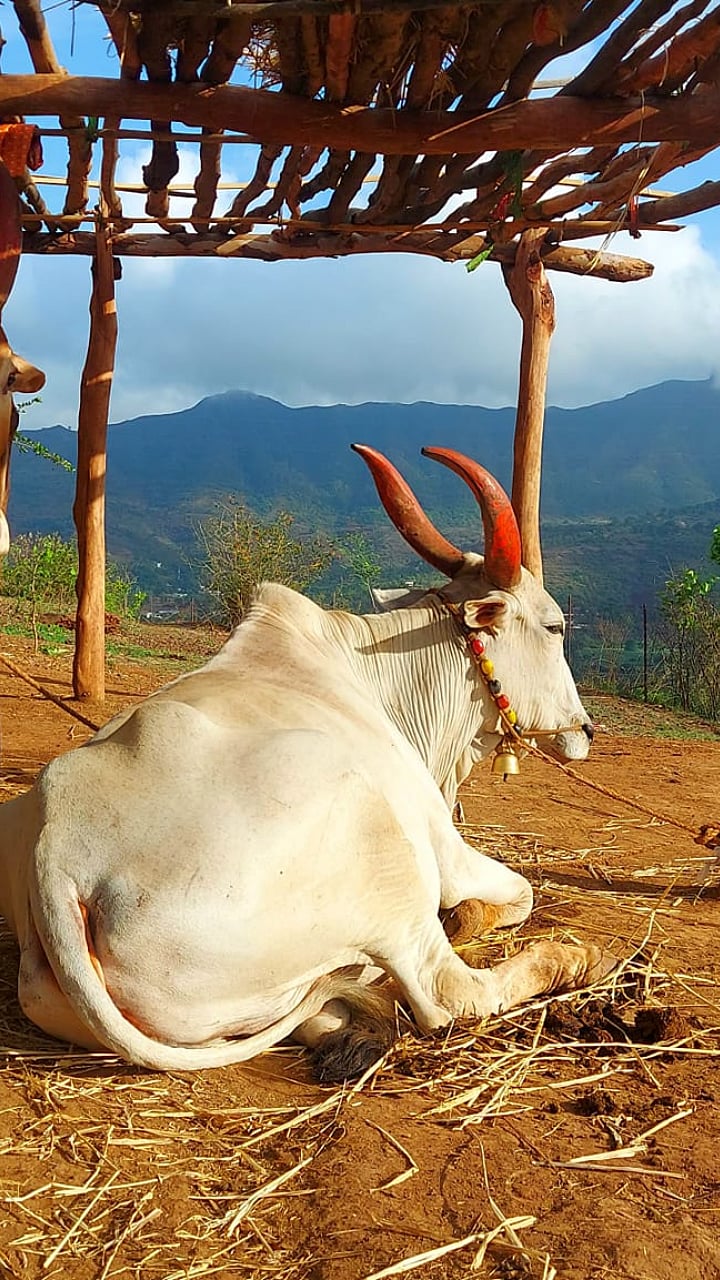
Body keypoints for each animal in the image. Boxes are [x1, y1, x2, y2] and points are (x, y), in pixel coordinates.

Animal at [0, 445, 612, 1081]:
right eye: (554, 626)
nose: (585, 729)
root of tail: (56, 860)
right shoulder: (446, 849)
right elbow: (520, 895)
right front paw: (474, 919)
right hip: (380, 849)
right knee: (445, 991)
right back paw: (573, 959)